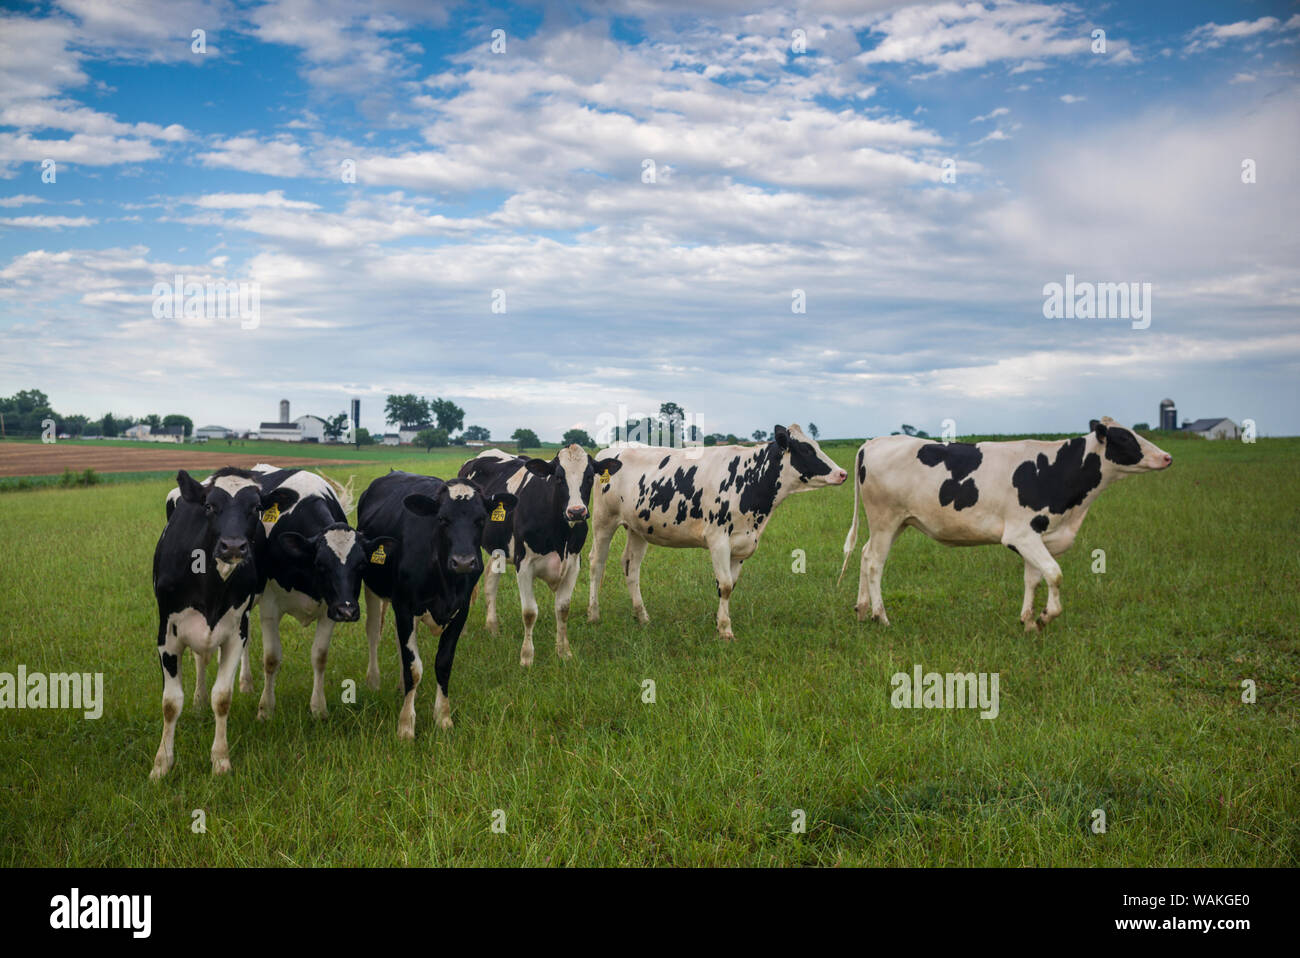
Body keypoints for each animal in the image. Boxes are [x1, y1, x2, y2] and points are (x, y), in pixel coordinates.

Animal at [150, 467, 298, 778]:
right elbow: (170, 703)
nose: (233, 546)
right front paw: (161, 764)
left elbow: (222, 697)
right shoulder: (167, 636)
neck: (211, 587)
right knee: (199, 660)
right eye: (209, 506)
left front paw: (220, 760)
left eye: (256, 508)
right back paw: (197, 701)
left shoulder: (234, 632)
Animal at [357, 471, 516, 739]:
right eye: (442, 519)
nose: (463, 562)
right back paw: (373, 681)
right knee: (372, 633)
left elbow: (443, 663)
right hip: (373, 588)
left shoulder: (460, 611)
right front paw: (406, 726)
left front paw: (443, 718)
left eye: (481, 519)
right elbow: (414, 668)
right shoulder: (405, 606)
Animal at [457, 445, 623, 666]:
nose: (576, 512)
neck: (560, 534)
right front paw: (527, 658)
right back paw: (463, 631)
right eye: (559, 478)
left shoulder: (573, 563)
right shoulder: (524, 564)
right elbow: (529, 612)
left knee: (491, 581)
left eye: (589, 477)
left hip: (499, 549)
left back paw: (492, 628)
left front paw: (564, 652)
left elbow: (563, 609)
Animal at [587, 424, 848, 641]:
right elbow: (725, 584)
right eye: (806, 449)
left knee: (631, 566)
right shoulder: (718, 539)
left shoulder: (742, 545)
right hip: (603, 521)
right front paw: (725, 630)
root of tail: (608, 451)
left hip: (638, 528)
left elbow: (730, 585)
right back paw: (593, 615)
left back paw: (642, 617)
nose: (843, 473)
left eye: (817, 446)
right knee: (596, 563)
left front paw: (720, 623)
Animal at [838, 417, 1173, 631]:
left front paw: (1028, 621)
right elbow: (1055, 574)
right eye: (1126, 438)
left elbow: (1033, 579)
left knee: (865, 554)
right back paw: (881, 617)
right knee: (875, 562)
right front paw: (1045, 616)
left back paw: (862, 610)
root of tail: (873, 442)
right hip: (885, 519)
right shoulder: (1021, 534)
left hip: (898, 522)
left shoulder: (1039, 536)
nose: (1167, 457)